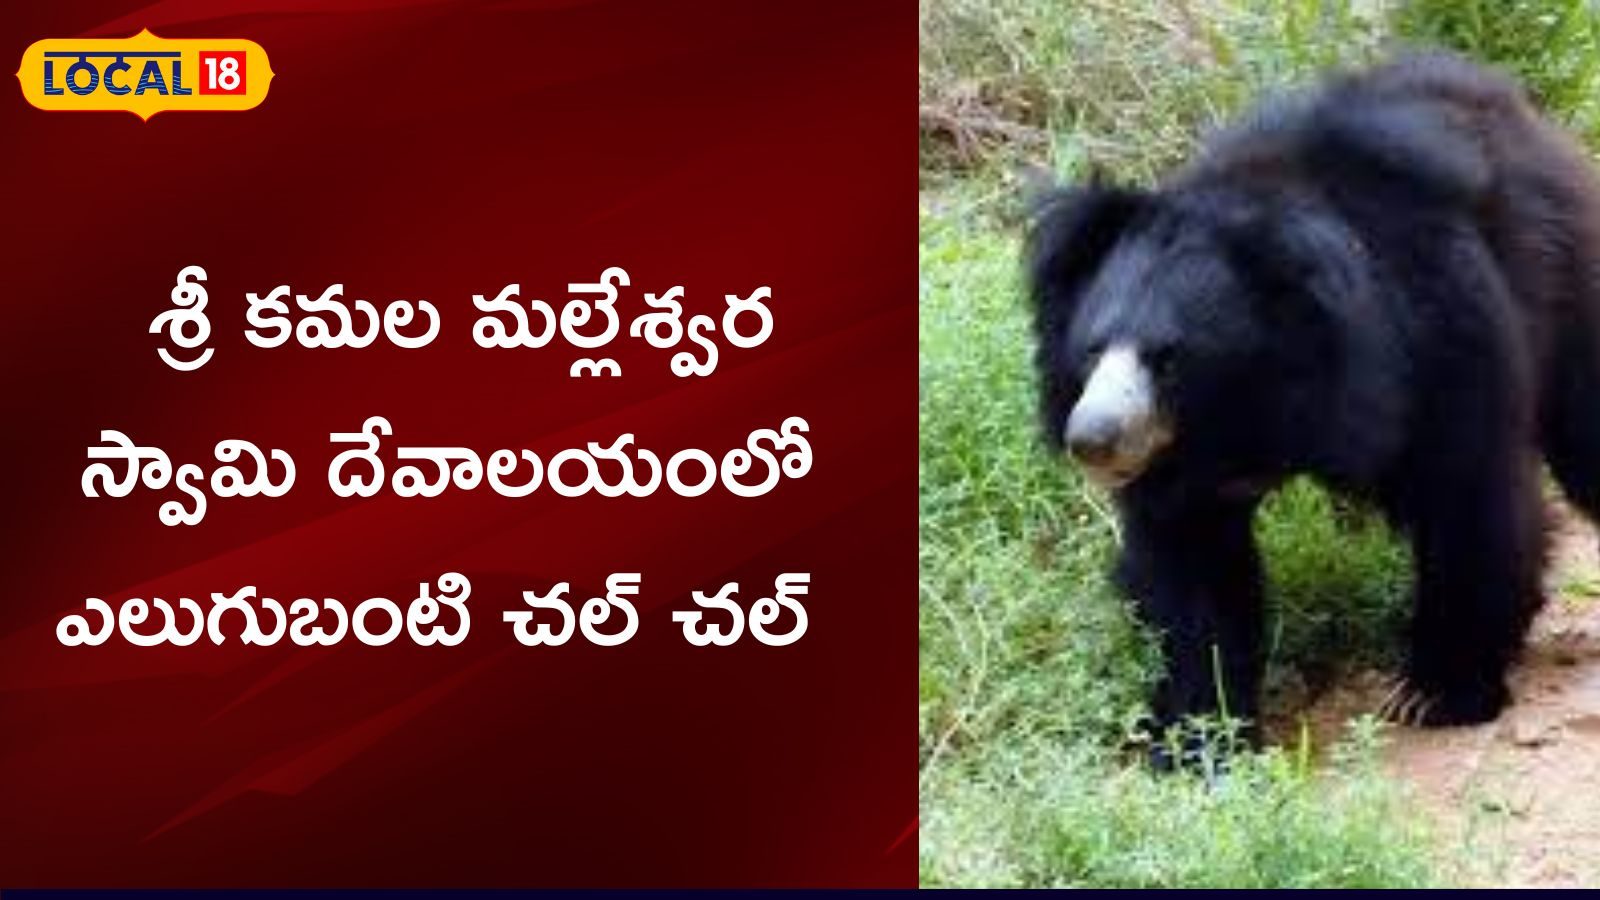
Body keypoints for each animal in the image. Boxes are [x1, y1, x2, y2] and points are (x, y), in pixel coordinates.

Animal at [1027, 53, 1600, 757]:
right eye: (1091, 350)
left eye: (1169, 358)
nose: (1092, 438)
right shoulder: (1180, 465)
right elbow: (1189, 567)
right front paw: (1199, 735)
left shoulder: (1444, 336)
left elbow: (1469, 498)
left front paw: (1435, 693)